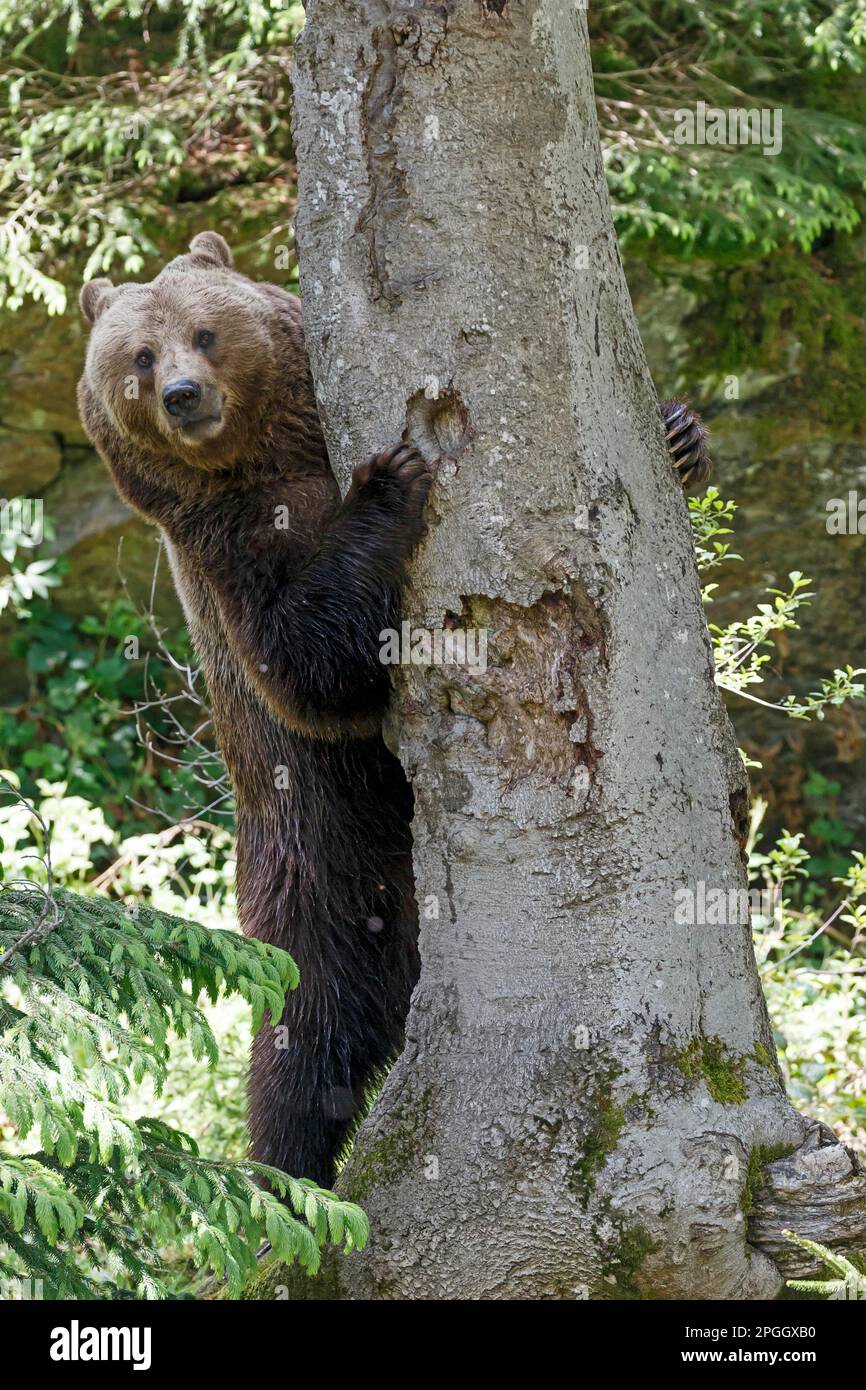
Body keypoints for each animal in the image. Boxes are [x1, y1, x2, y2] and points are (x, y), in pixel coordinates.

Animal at [77, 231, 711, 1188]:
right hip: (317, 873)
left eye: (205, 331)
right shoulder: (231, 556)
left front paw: (679, 432)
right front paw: (391, 478)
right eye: (139, 358)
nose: (184, 395)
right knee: (304, 1044)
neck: (267, 459)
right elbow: (314, 667)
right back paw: (291, 1178)